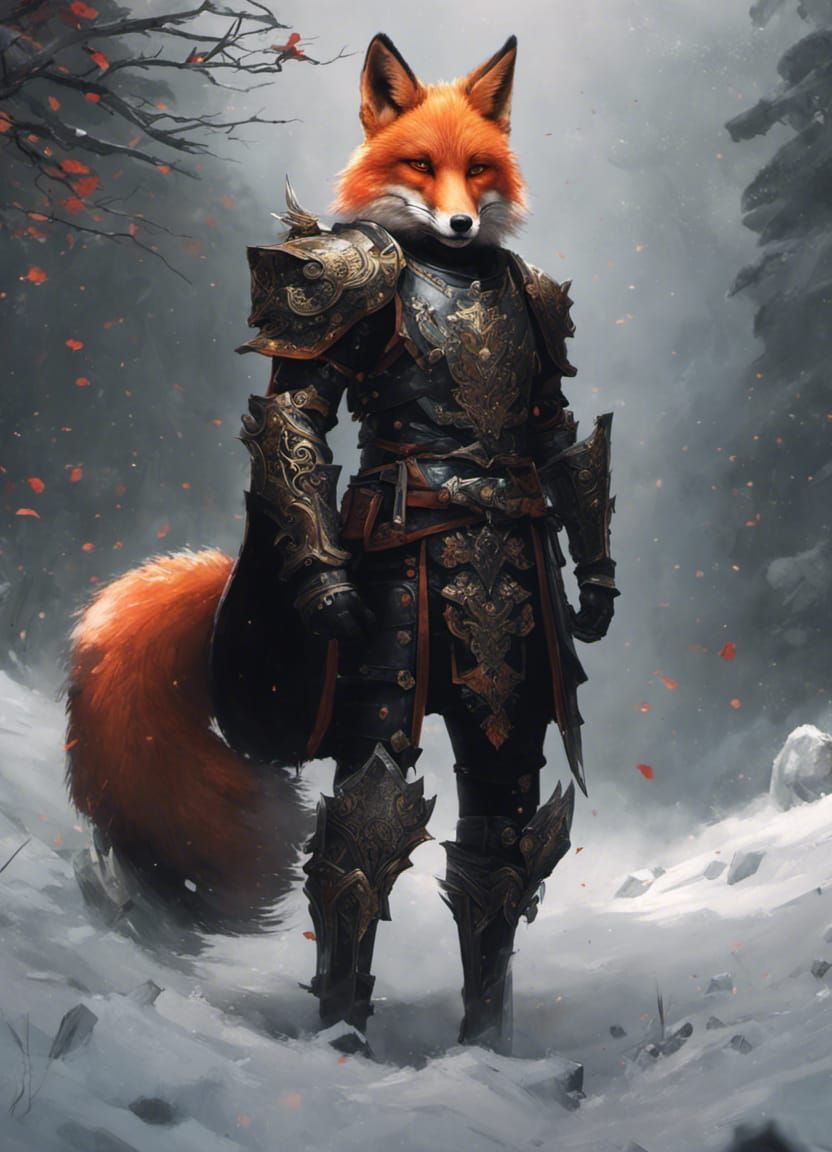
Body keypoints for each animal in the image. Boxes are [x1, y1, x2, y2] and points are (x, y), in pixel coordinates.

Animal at [66, 33, 531, 922]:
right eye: (420, 164)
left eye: (480, 167)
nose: (461, 223)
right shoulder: (329, 296)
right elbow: (297, 414)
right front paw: (329, 595)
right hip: (389, 671)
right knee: (370, 809)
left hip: (501, 682)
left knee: (502, 814)